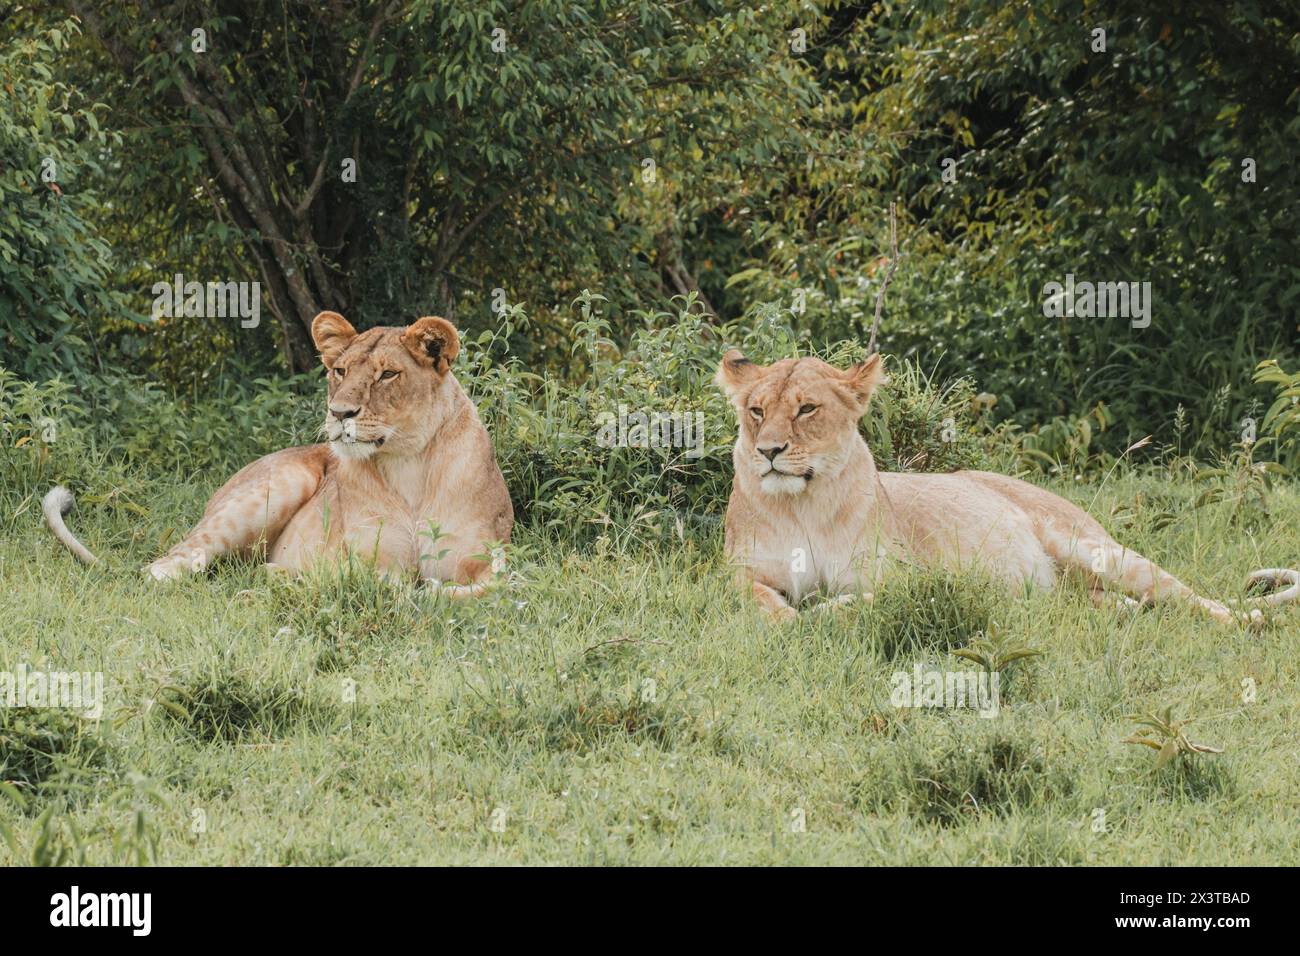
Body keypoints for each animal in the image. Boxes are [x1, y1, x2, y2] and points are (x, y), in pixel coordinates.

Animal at [45, 311, 513, 596]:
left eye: (387, 375)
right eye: (339, 370)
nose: (339, 412)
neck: (408, 464)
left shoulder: (489, 558)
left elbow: (492, 588)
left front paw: (435, 591)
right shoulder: (362, 556)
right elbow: (371, 580)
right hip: (278, 486)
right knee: (172, 562)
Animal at [715, 349, 1298, 624]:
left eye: (807, 409)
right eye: (757, 411)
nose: (769, 451)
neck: (803, 507)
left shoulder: (912, 581)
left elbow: (863, 601)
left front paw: (819, 611)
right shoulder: (736, 575)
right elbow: (757, 602)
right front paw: (788, 618)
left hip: (1098, 548)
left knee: (1200, 602)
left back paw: (1244, 620)